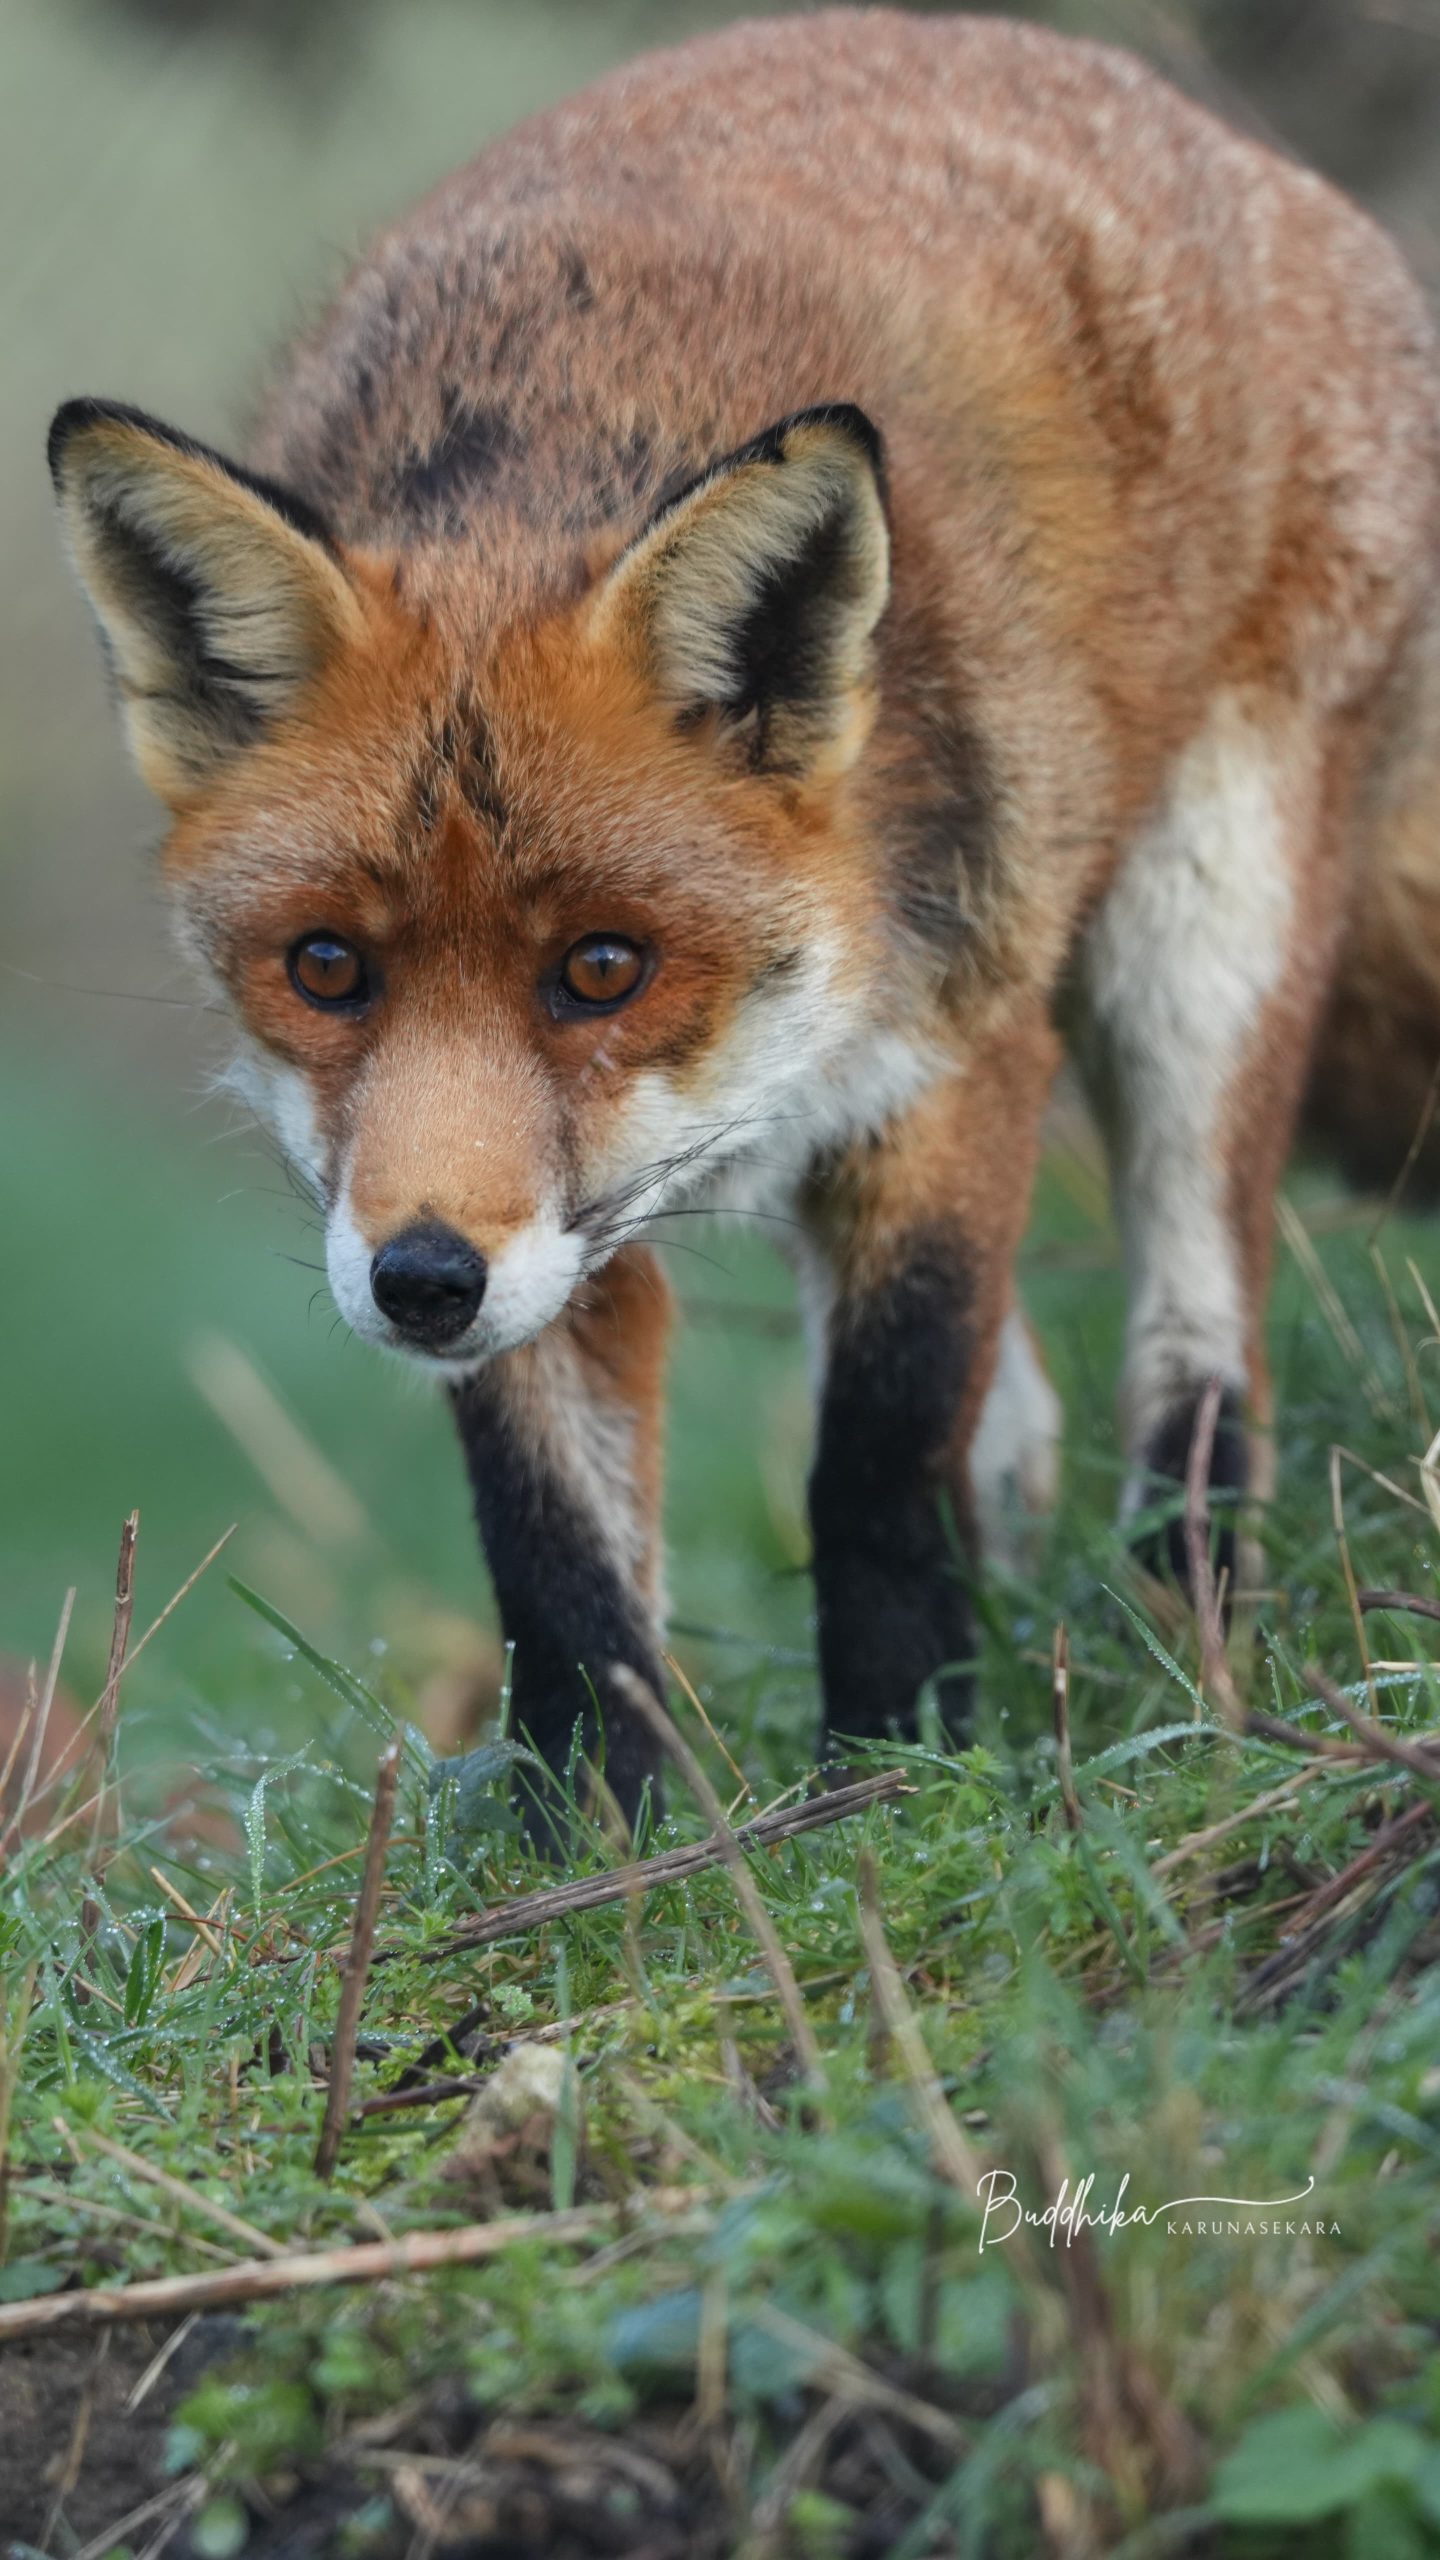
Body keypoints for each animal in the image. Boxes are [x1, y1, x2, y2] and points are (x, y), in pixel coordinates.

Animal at [48, 9, 1440, 1840]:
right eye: (328, 968)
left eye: (603, 968)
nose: (419, 1285)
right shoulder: (535, 1233)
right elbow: (558, 1558)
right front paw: (601, 1844)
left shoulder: (947, 1067)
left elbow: (874, 1459)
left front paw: (897, 1777)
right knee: (1023, 1427)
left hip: (1199, 948)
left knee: (1199, 1370)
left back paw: (1186, 1662)